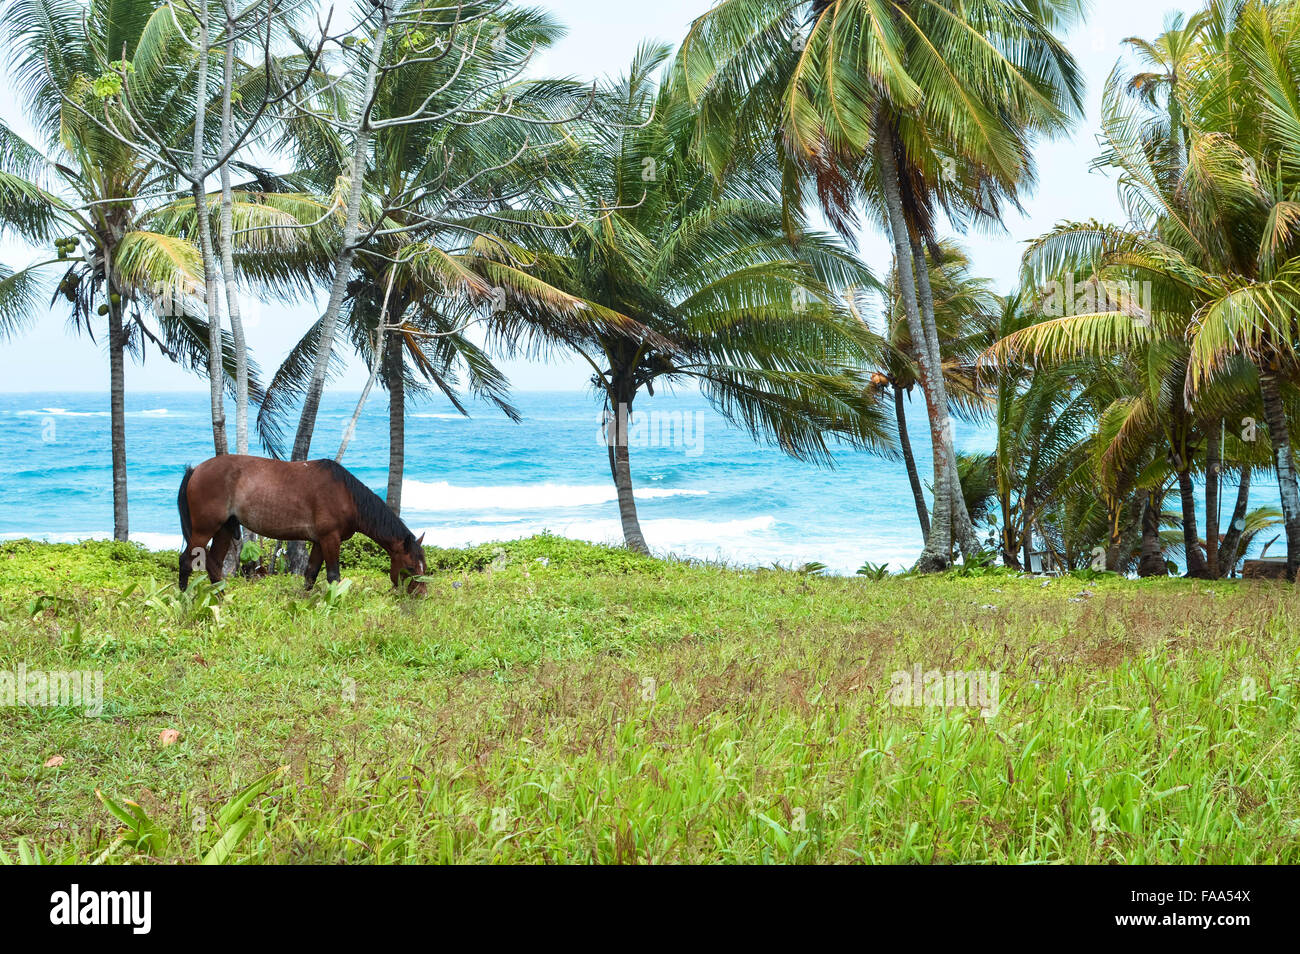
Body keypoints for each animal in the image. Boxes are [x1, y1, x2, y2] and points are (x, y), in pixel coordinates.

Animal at [177, 455, 427, 594]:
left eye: (423, 567)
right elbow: (333, 575)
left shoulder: (320, 541)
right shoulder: (330, 539)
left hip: (224, 529)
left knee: (215, 564)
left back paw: (219, 598)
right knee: (186, 561)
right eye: (410, 568)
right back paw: (184, 598)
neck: (345, 495)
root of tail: (196, 470)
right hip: (204, 529)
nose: (422, 595)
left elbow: (310, 575)